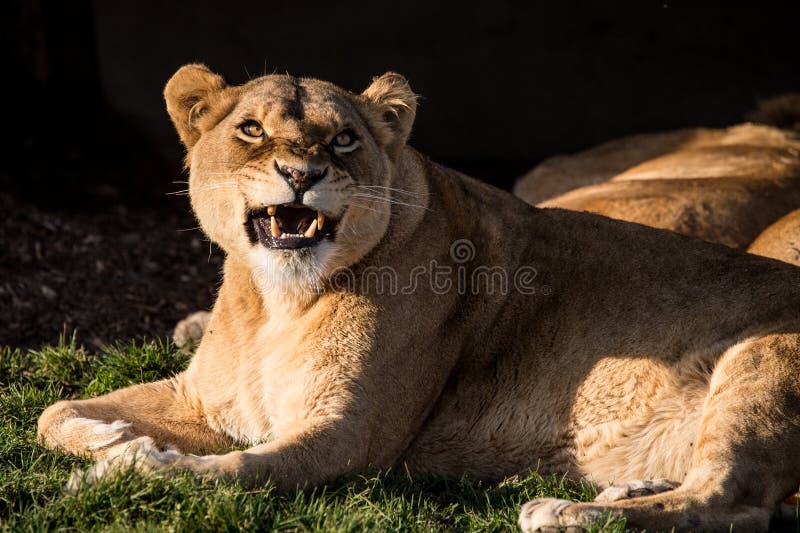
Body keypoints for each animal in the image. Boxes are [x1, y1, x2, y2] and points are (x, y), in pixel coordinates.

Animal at [38, 65, 800, 532]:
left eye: (344, 138)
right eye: (251, 129)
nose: (302, 173)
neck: (276, 303)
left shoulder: (346, 437)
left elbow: (235, 471)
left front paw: (126, 472)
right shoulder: (199, 402)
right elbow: (55, 412)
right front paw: (118, 441)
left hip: (761, 362)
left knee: (732, 500)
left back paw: (566, 512)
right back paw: (613, 489)